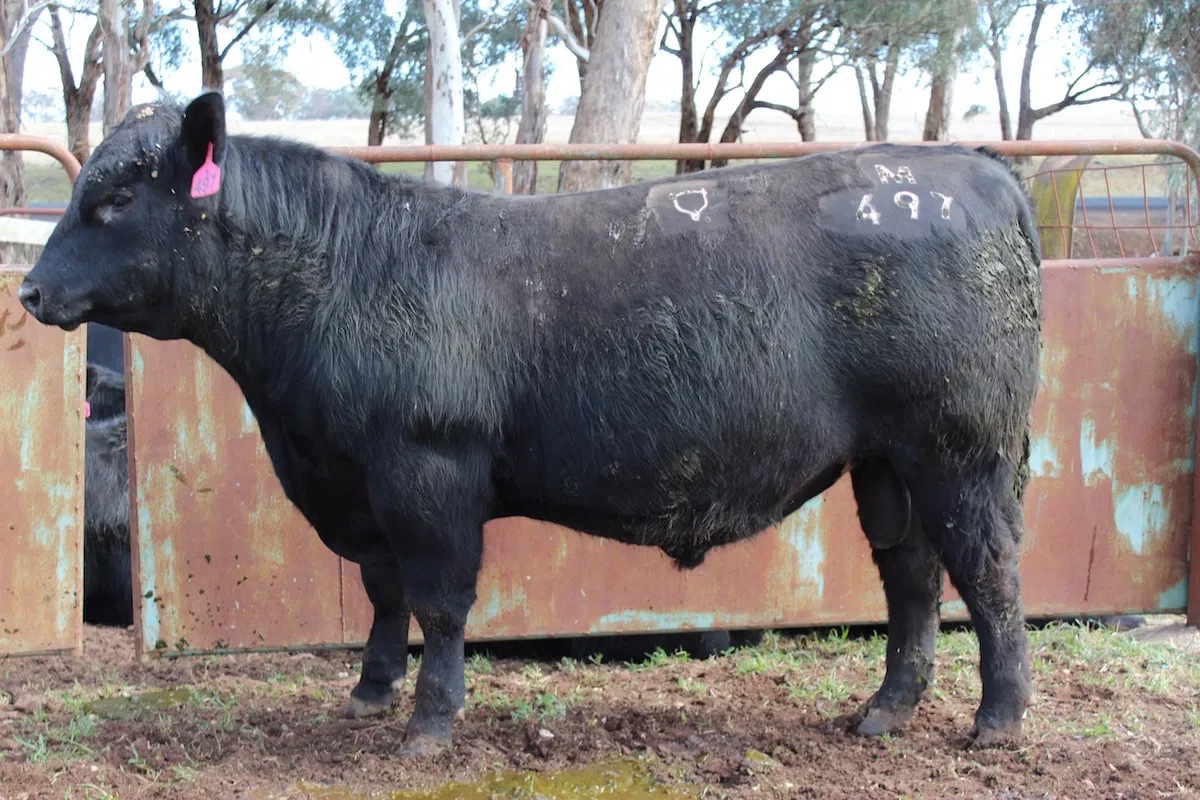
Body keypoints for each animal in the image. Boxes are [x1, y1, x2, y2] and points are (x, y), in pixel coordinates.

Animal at [20, 92, 1043, 757]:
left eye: (115, 198)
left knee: (990, 573)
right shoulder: (360, 486)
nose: (28, 290)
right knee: (912, 578)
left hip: (962, 449)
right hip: (889, 463)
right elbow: (384, 593)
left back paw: (996, 722)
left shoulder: (428, 470)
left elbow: (438, 599)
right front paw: (369, 694)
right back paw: (887, 710)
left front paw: (429, 724)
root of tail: (965, 166)